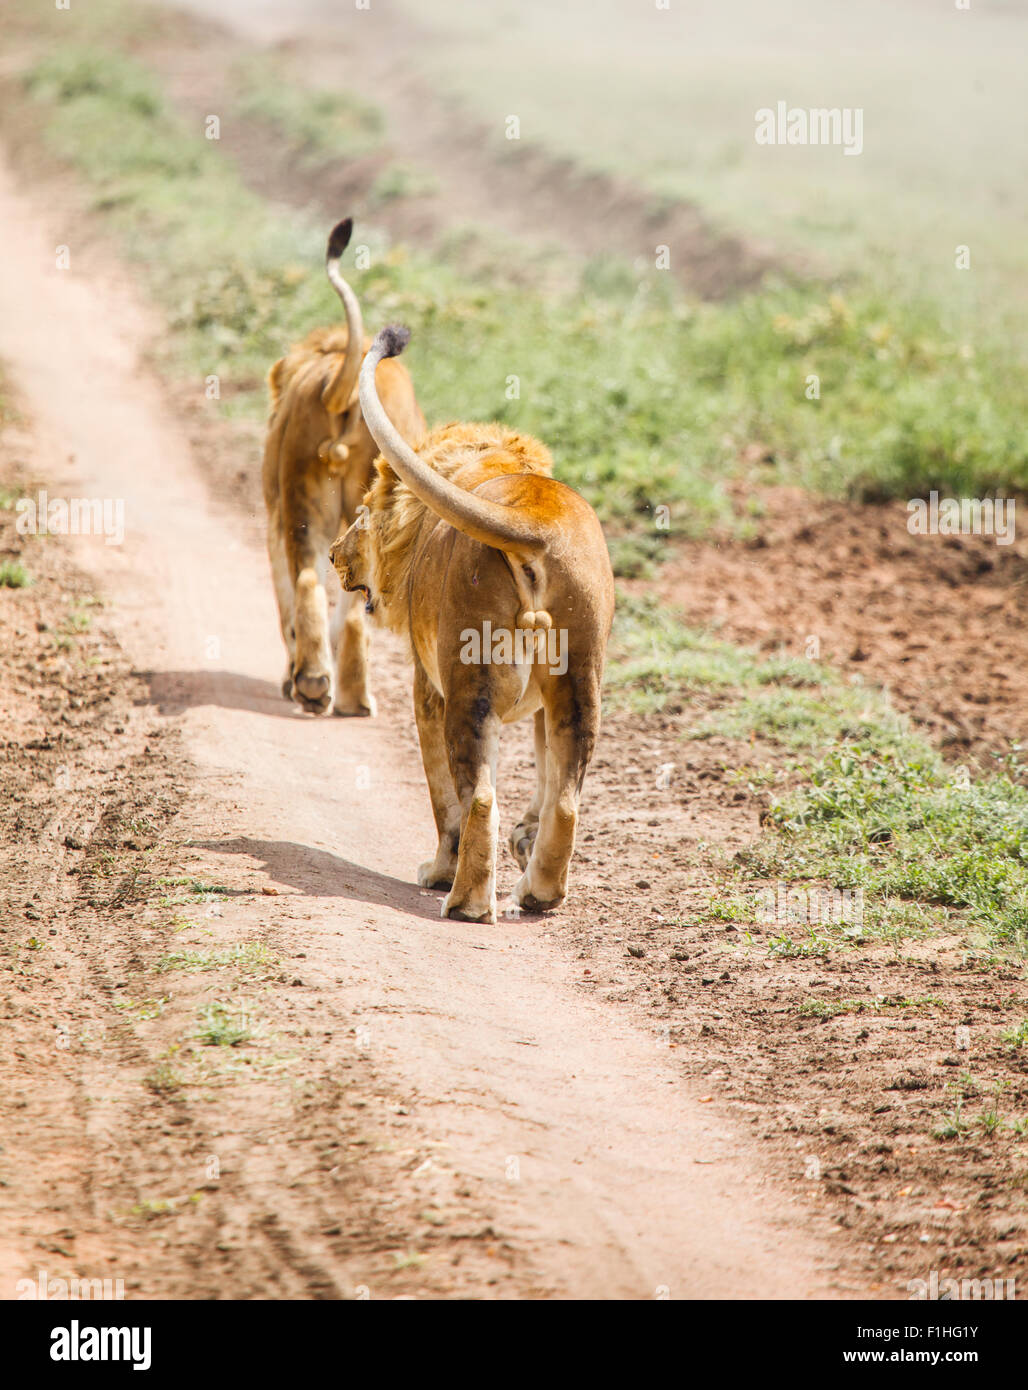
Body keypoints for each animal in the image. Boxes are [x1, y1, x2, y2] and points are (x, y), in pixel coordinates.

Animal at [262, 218, 425, 715]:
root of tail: (347, 386)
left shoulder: (273, 517)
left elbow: (286, 602)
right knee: (352, 603)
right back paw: (345, 694)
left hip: (299, 502)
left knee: (308, 583)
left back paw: (316, 684)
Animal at [330, 325, 615, 922]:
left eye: (362, 514)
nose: (332, 553)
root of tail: (530, 525)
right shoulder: (543, 705)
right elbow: (543, 774)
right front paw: (525, 838)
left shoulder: (426, 685)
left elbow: (443, 798)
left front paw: (438, 870)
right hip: (580, 685)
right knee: (566, 800)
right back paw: (538, 892)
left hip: (471, 685)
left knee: (479, 797)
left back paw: (464, 901)